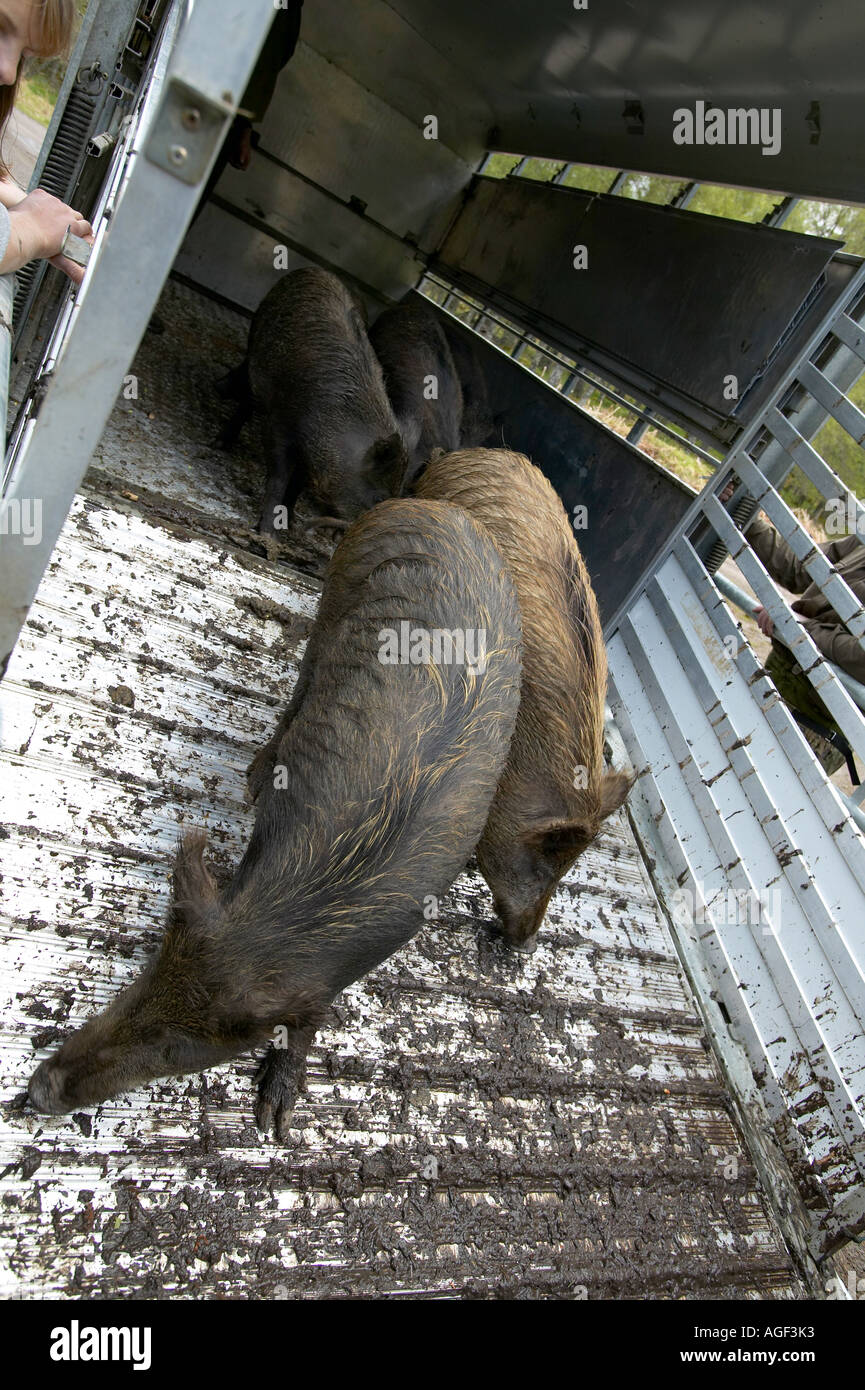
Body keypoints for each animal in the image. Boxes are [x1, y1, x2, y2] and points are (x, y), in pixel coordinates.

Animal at [28, 499, 522, 1137]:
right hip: (338, 586)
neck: (285, 919)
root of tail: (431, 505)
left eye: (176, 1050)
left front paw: (274, 1122)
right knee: (307, 669)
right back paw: (257, 774)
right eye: (147, 976)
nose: (36, 1091)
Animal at [217, 267, 409, 532]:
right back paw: (220, 441)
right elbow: (279, 476)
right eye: (379, 497)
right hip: (256, 346)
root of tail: (316, 269)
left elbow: (298, 483)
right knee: (247, 399)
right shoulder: (280, 422)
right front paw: (268, 533)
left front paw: (288, 523)